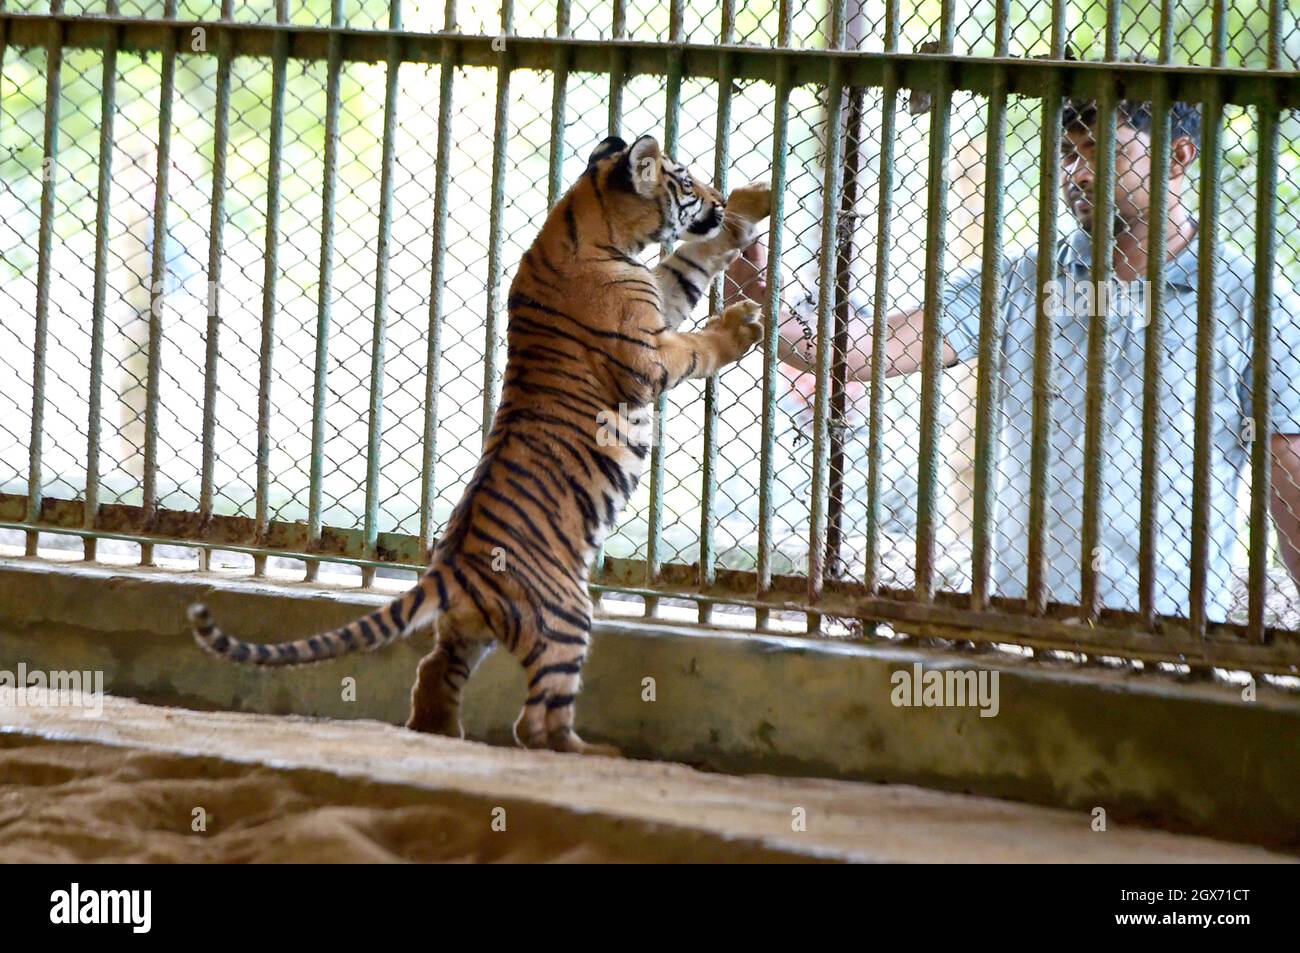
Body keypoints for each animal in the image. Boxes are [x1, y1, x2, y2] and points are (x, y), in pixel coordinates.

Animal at [188, 133, 772, 757]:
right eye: (684, 182)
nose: (716, 197)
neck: (584, 220)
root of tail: (452, 566)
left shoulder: (661, 295)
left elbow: (689, 263)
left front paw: (750, 206)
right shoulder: (649, 357)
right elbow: (698, 344)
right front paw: (741, 324)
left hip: (470, 629)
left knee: (433, 671)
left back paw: (444, 735)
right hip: (566, 615)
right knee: (535, 722)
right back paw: (589, 752)